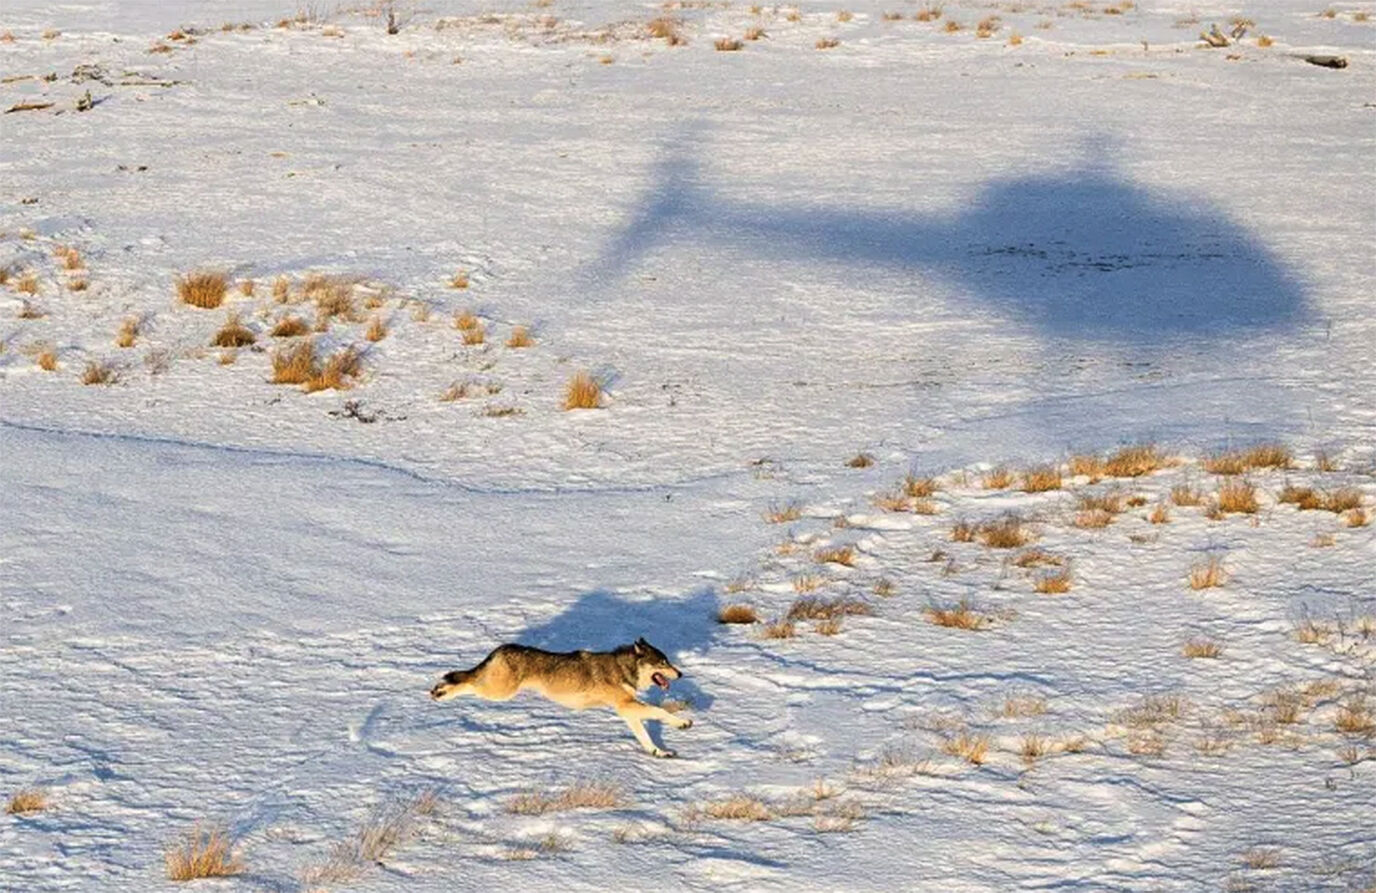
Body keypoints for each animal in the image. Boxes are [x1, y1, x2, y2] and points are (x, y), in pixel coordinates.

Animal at [429, 637, 692, 758]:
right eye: (663, 662)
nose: (680, 673)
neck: (624, 668)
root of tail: (500, 648)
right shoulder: (625, 705)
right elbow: (659, 711)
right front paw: (683, 723)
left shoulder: (626, 711)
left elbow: (646, 735)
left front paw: (660, 752)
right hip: (498, 691)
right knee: (466, 682)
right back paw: (440, 693)